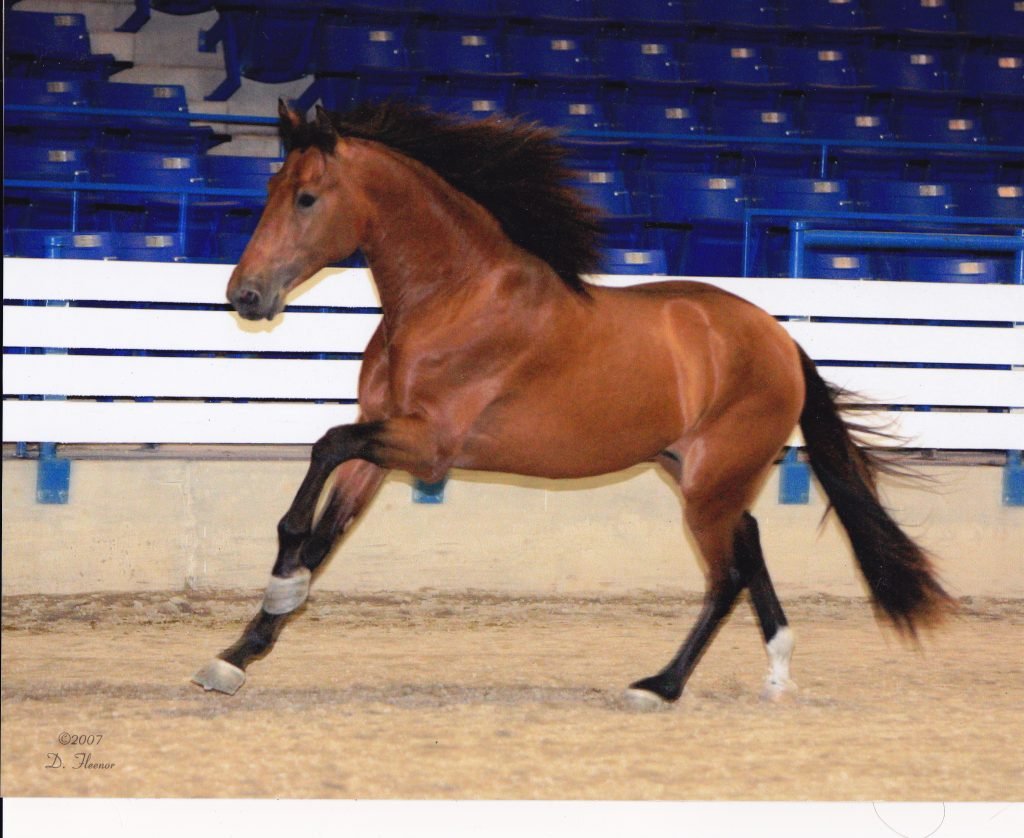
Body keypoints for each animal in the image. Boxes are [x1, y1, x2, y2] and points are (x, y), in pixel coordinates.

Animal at [192, 101, 952, 707]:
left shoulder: (426, 444)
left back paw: (660, 685)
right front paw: (238, 654)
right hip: (699, 471)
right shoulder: (381, 447)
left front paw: (278, 587)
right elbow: (326, 531)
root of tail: (780, 340)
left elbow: (320, 459)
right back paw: (777, 670)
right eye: (272, 188)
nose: (245, 296)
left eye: (306, 197)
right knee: (752, 543)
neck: (451, 299)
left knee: (728, 574)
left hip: (711, 482)